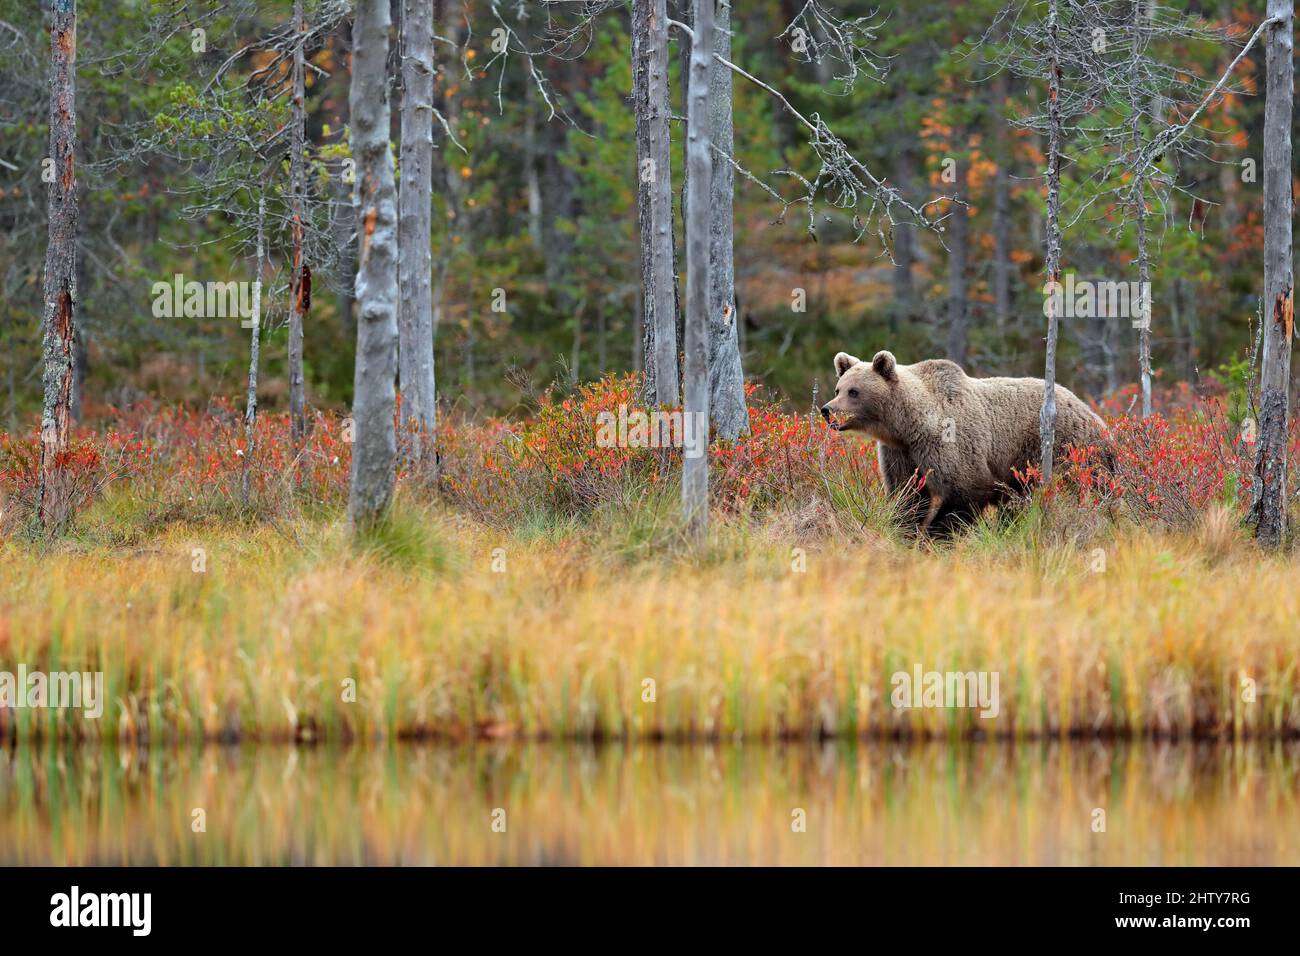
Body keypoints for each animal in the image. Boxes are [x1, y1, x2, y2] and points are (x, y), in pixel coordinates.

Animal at [820, 350, 1108, 536]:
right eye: (838, 388)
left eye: (854, 392)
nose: (827, 410)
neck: (908, 425)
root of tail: (1091, 412)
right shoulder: (901, 453)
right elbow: (909, 495)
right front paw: (905, 531)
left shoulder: (950, 443)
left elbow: (965, 492)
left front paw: (935, 536)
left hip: (1067, 450)